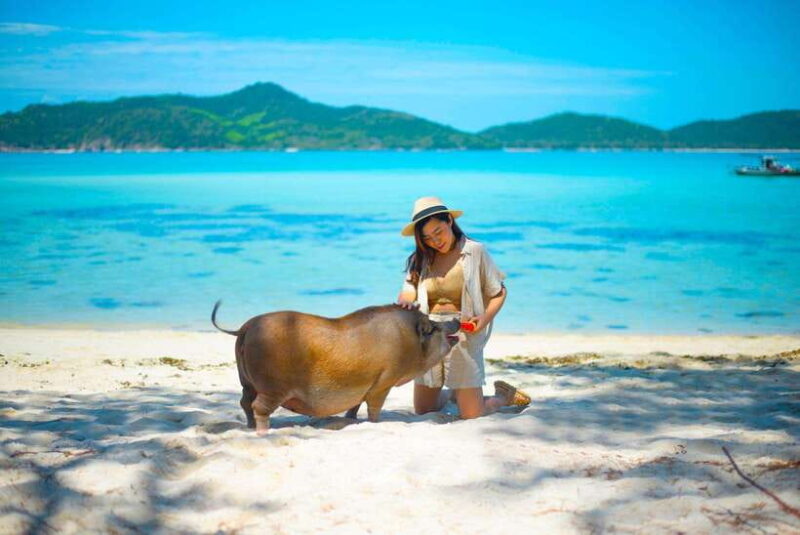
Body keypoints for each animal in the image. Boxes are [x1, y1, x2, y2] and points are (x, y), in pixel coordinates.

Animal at [211, 301, 460, 434]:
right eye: (433, 328)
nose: (456, 321)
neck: (407, 342)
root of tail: (244, 328)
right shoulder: (384, 382)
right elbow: (374, 409)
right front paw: (375, 423)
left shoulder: (364, 385)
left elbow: (355, 405)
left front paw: (351, 420)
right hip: (273, 386)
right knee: (259, 407)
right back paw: (263, 432)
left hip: (246, 382)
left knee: (244, 402)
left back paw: (249, 427)